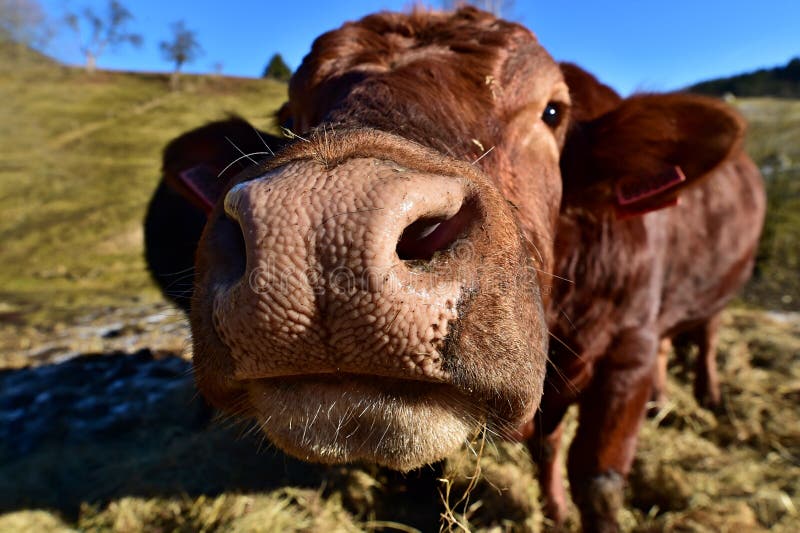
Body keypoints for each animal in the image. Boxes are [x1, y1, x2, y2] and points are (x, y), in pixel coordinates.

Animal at [144, 7, 764, 532]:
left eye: (553, 112)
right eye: (289, 115)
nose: (323, 229)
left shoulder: (627, 352)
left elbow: (599, 481)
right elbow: (543, 449)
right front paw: (554, 510)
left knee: (705, 336)